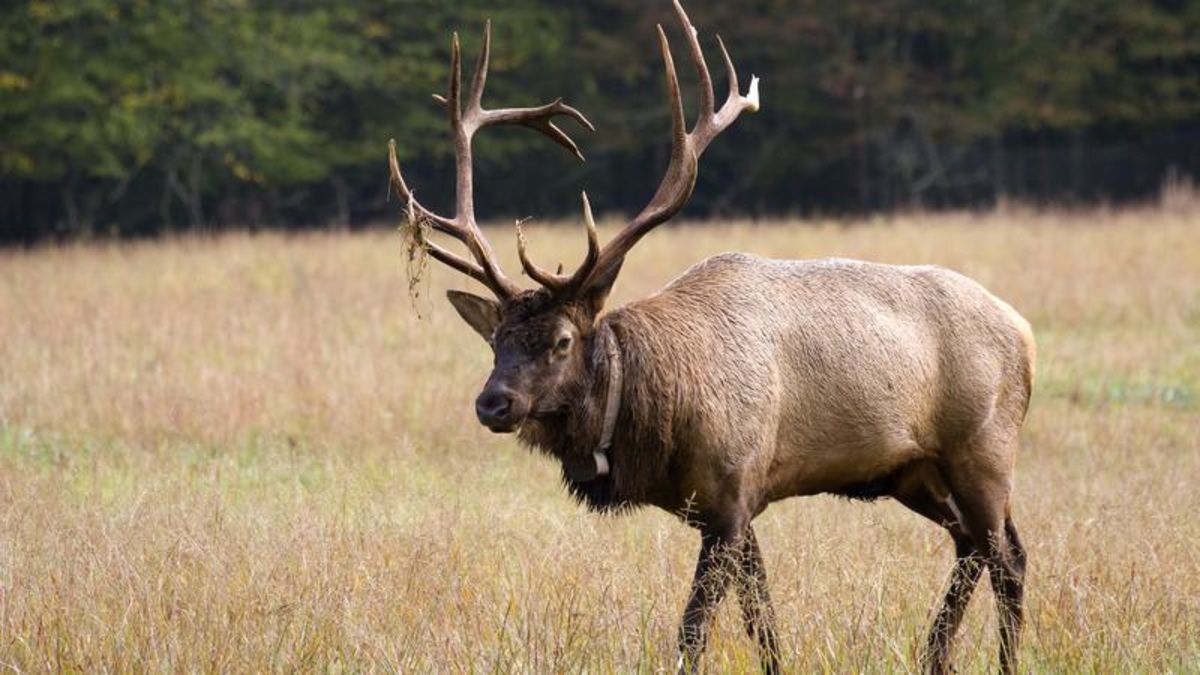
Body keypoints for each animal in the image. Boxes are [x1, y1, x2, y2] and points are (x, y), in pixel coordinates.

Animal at [387, 2, 1035, 673]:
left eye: (562, 340)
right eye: (496, 341)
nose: (493, 403)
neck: (657, 422)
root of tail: (1024, 331)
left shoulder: (729, 495)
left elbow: (695, 629)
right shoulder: (733, 505)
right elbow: (762, 621)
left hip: (982, 447)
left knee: (1009, 555)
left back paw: (1006, 659)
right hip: (915, 470)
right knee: (971, 547)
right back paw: (934, 656)